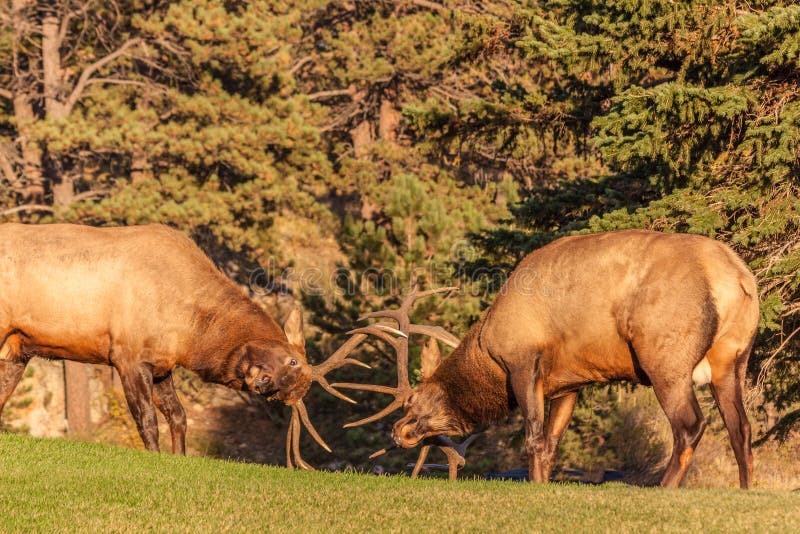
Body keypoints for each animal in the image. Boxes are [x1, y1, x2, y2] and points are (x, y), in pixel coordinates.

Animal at [0, 222, 372, 468]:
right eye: (292, 362)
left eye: (281, 396)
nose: (263, 383)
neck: (188, 329)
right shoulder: (126, 354)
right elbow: (147, 419)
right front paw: (156, 458)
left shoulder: (162, 366)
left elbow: (179, 416)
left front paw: (179, 458)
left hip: (16, 351)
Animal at [340, 230, 760, 488]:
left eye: (412, 400)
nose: (398, 432)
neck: (487, 353)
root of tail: (737, 279)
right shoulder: (570, 381)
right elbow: (551, 444)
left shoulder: (523, 361)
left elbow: (533, 438)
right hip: (734, 359)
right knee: (741, 429)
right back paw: (745, 489)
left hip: (666, 356)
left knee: (690, 426)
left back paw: (664, 487)